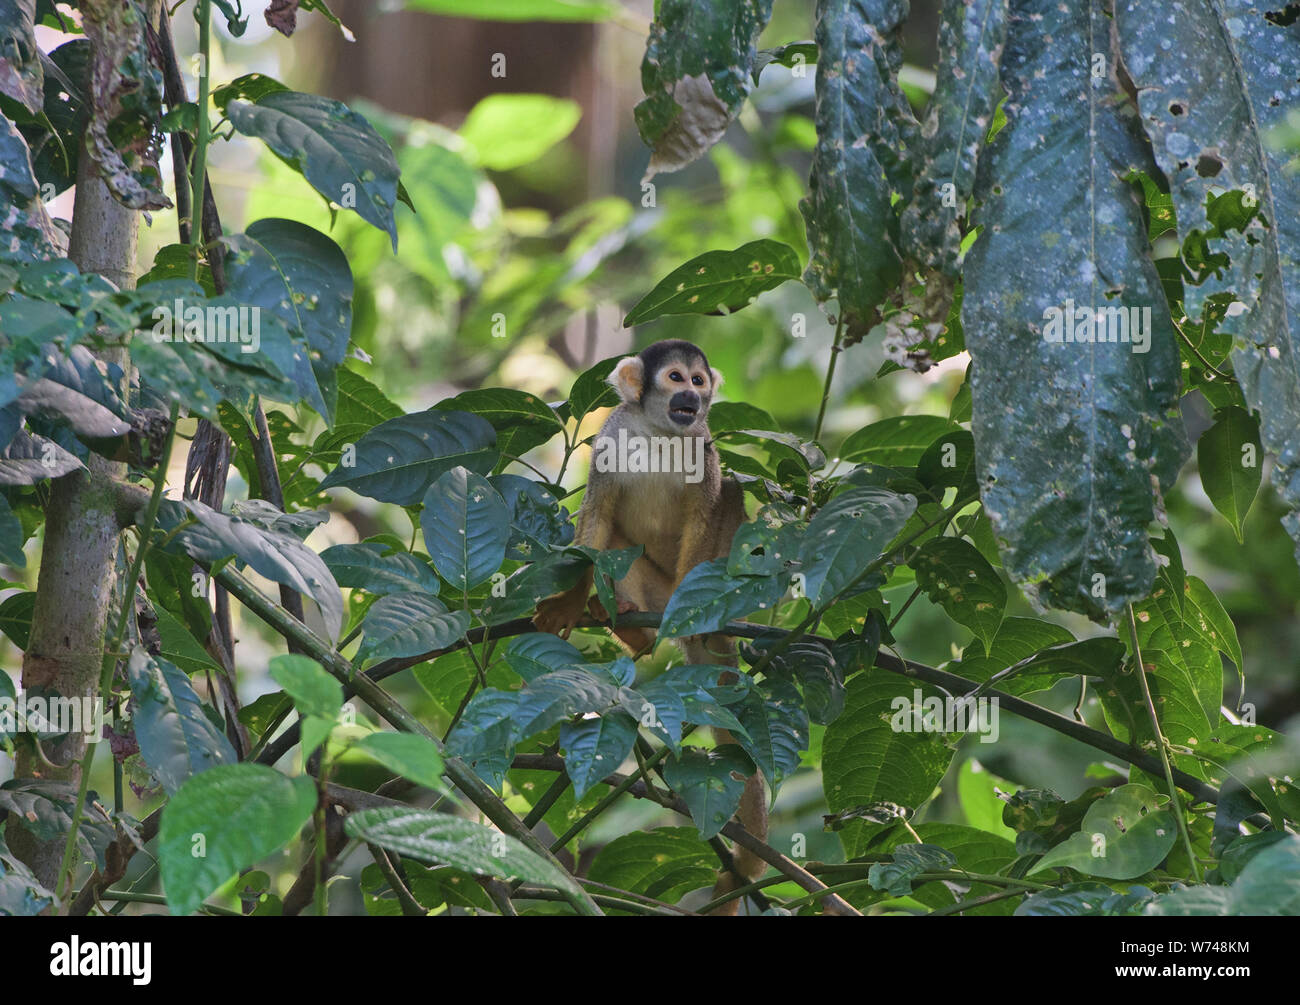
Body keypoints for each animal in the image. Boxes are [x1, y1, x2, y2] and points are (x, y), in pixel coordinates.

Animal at [533, 339, 766, 914]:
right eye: (677, 378)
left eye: (700, 382)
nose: (693, 399)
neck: (661, 433)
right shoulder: (609, 440)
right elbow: (597, 516)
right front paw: (569, 601)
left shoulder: (704, 445)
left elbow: (709, 503)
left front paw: (692, 591)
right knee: (619, 541)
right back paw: (629, 626)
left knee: (731, 492)